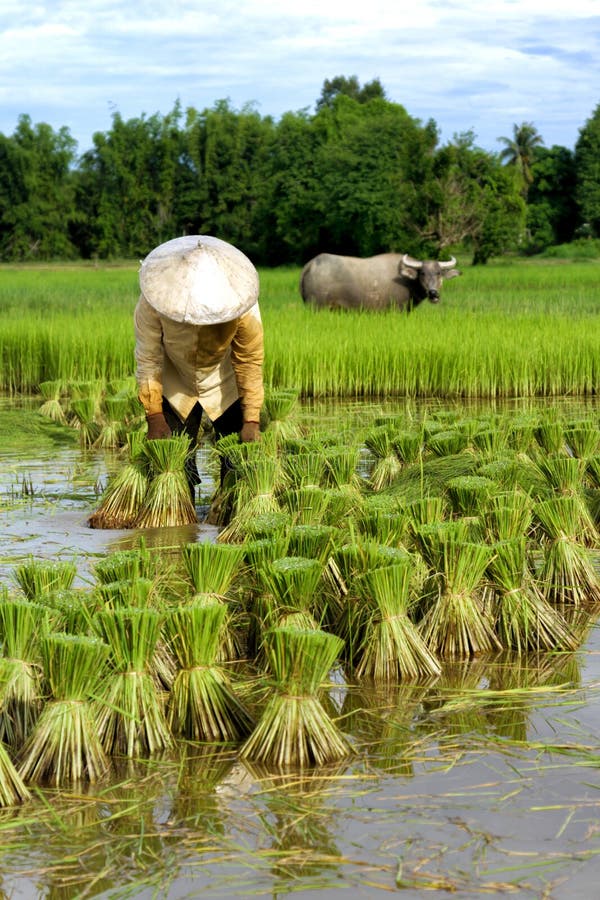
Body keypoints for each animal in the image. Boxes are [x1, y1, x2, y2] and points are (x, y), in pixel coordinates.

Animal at [300, 253, 460, 312]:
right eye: (422, 273)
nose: (433, 293)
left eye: (439, 273)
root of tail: (310, 265)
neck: (408, 282)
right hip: (317, 307)